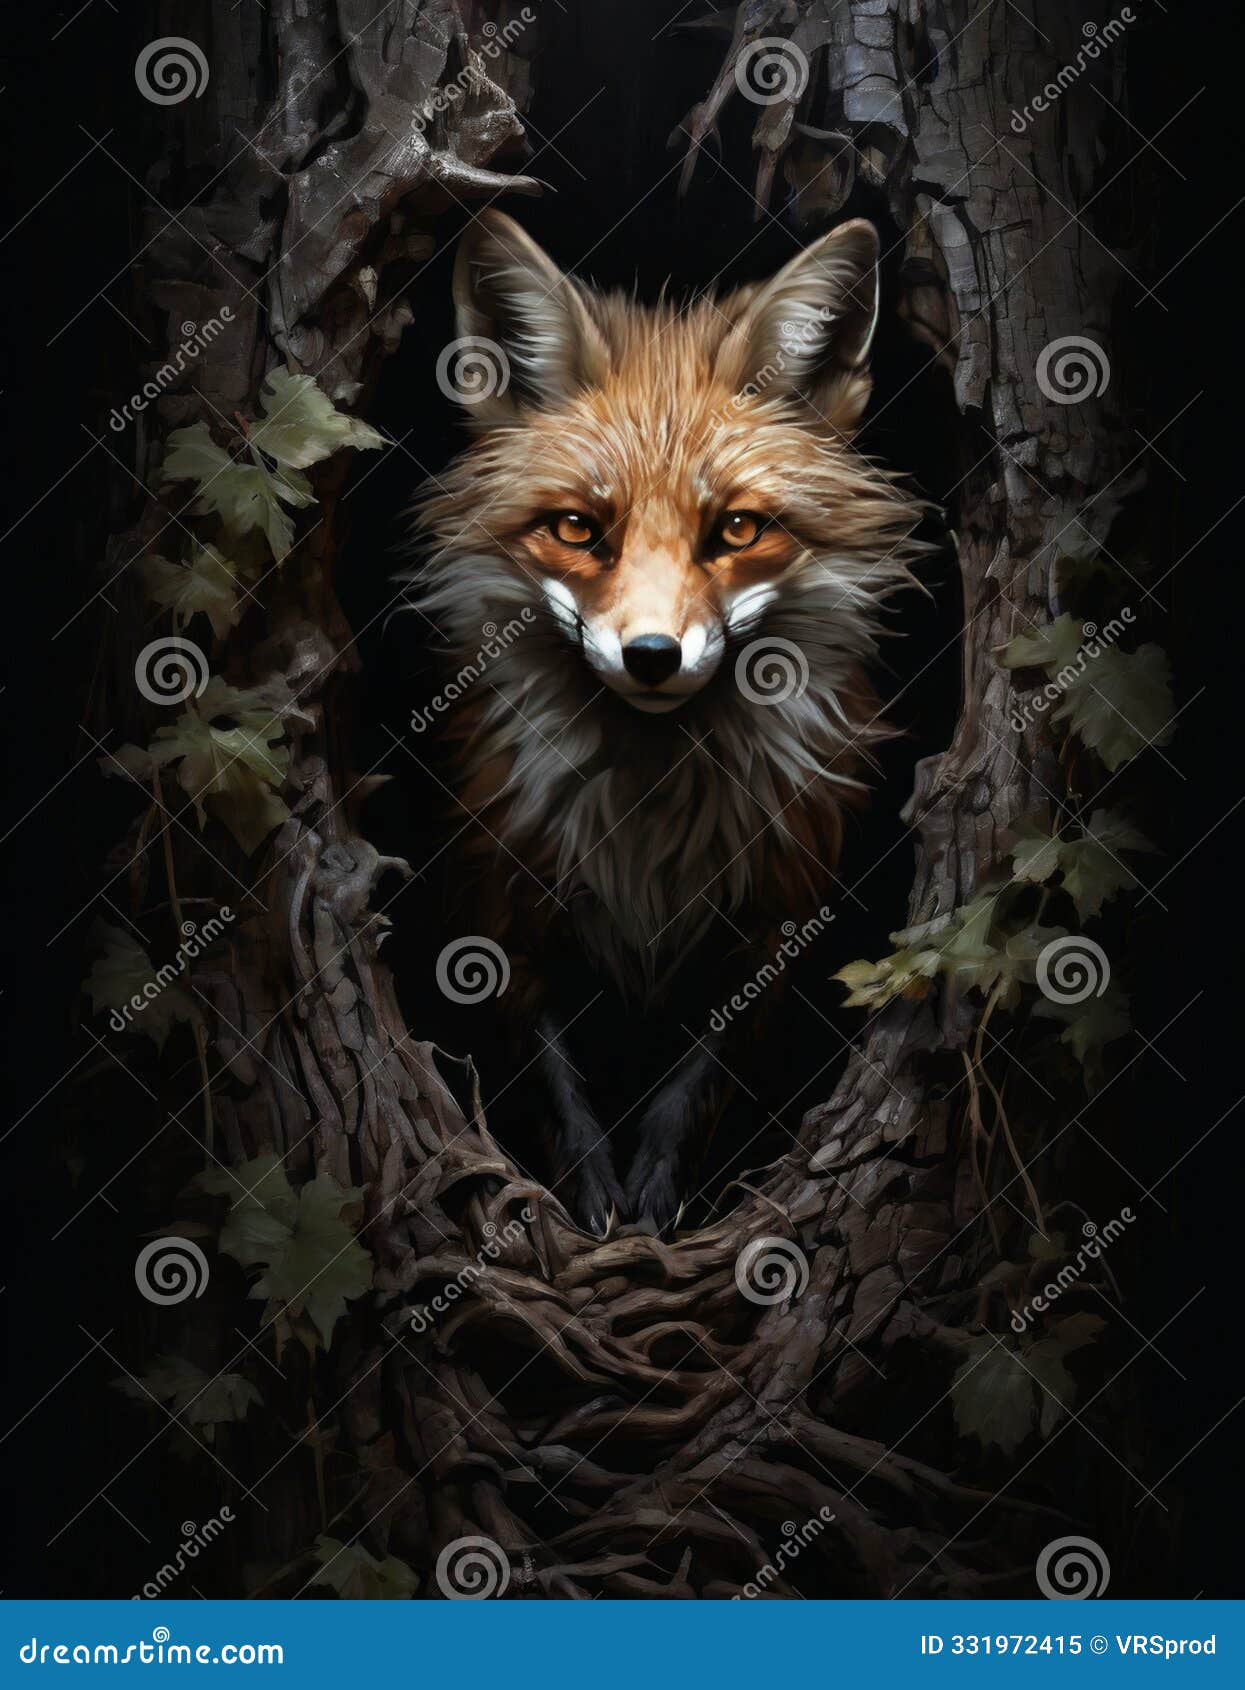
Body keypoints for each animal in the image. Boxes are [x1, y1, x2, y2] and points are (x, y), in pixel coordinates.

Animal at [405, 211, 922, 1236]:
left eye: (736, 529)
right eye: (576, 529)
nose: (651, 655)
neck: (648, 814)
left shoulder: (775, 919)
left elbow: (696, 1079)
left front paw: (652, 1201)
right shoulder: (499, 909)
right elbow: (554, 1083)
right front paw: (590, 1203)